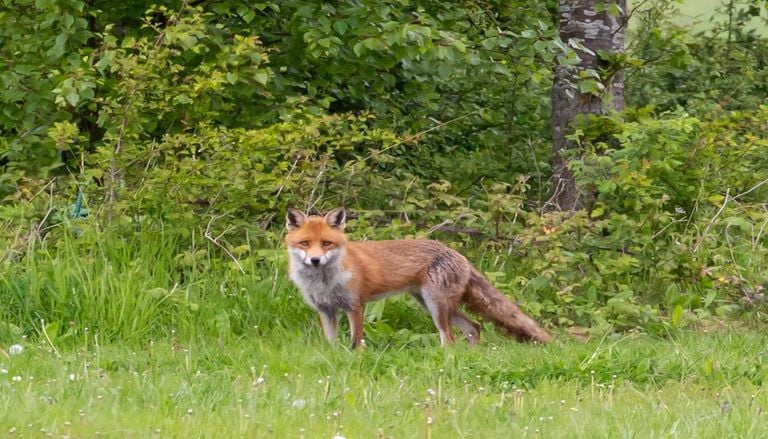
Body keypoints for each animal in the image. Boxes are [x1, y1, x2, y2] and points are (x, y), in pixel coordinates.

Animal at [285, 207, 552, 348]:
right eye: (305, 243)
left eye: (326, 243)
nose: (315, 260)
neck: (324, 282)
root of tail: (460, 255)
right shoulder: (326, 310)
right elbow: (331, 343)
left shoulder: (355, 306)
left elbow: (356, 341)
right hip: (433, 305)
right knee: (474, 327)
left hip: (436, 307)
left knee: (449, 338)